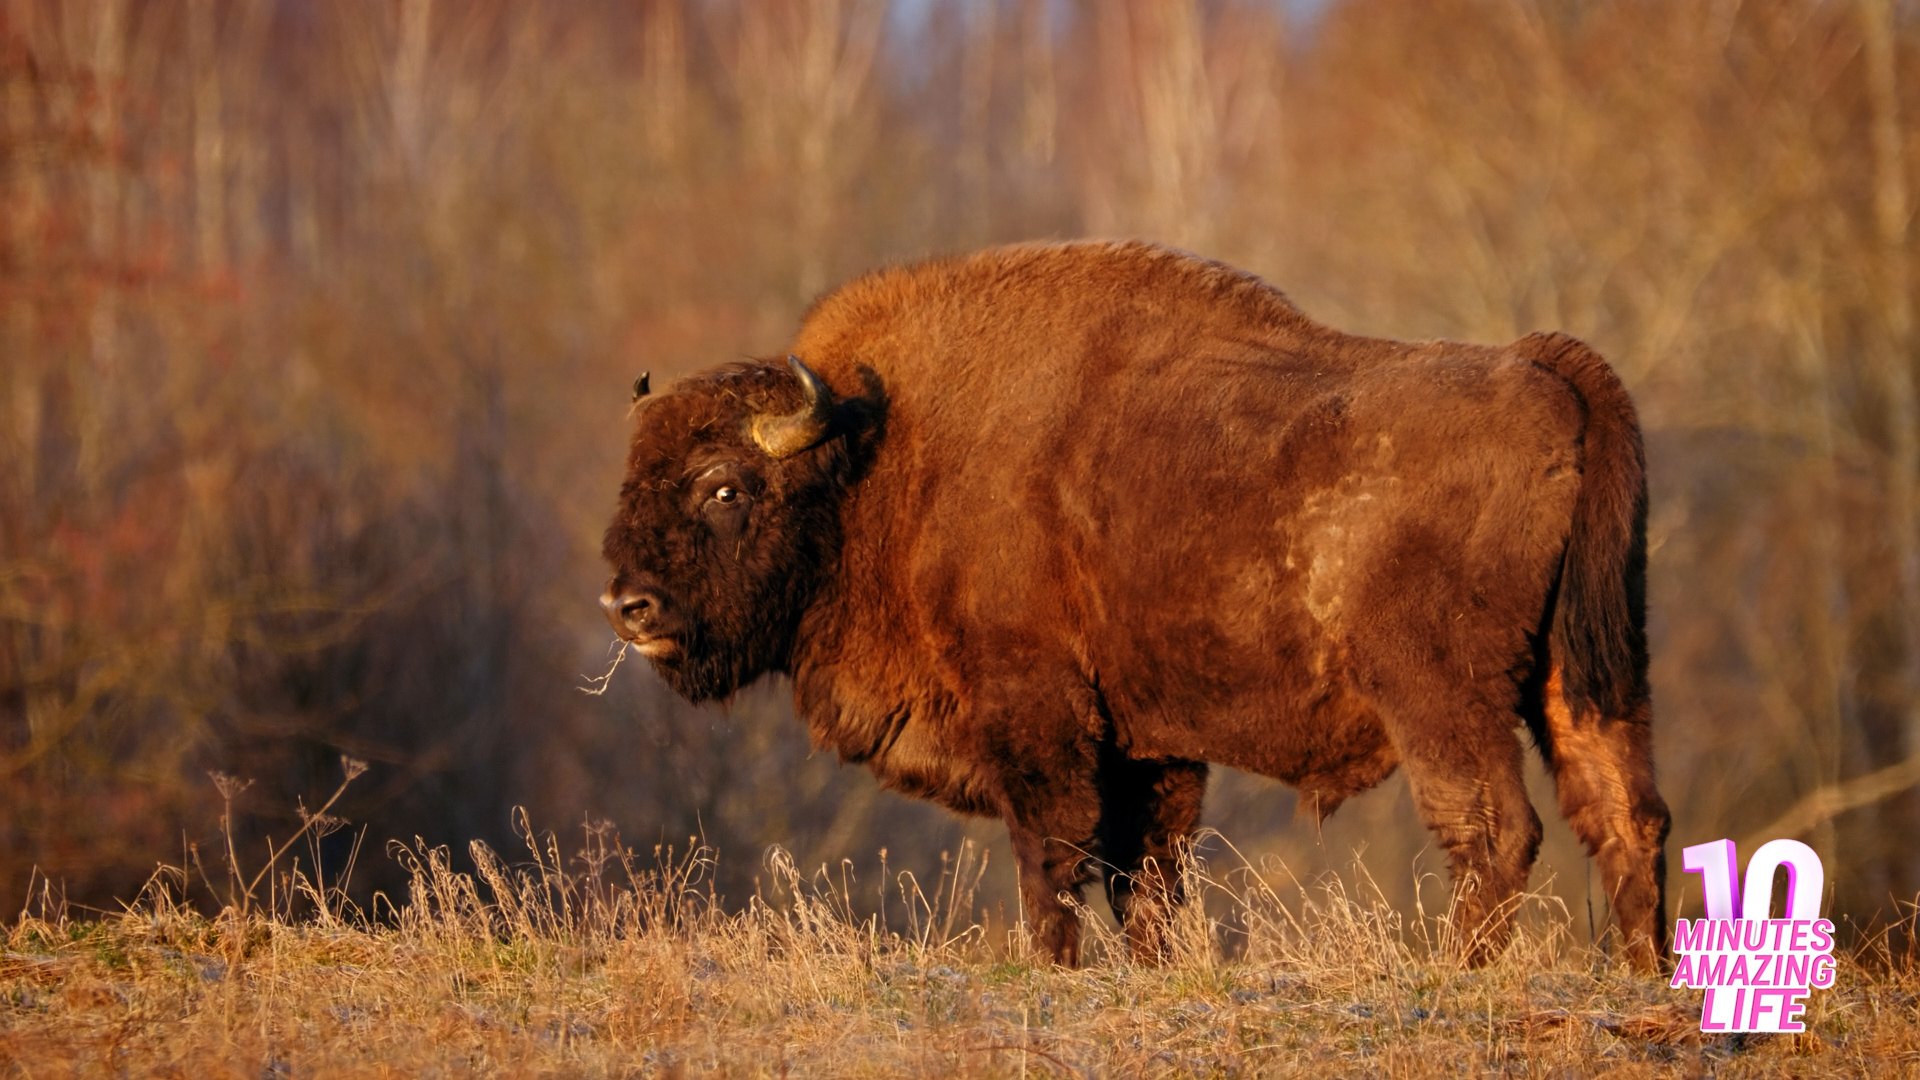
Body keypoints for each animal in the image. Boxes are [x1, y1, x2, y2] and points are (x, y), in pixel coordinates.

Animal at [601, 241, 1670, 970]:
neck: (883, 463)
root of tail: (1542, 371)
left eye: (725, 486)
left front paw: (1054, 968)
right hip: (1583, 676)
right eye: (631, 473)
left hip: (1445, 695)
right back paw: (1646, 977)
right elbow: (1145, 873)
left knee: (1496, 828)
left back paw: (1458, 974)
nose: (626, 604)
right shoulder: (1149, 744)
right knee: (1627, 813)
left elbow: (1054, 853)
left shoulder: (1037, 713)